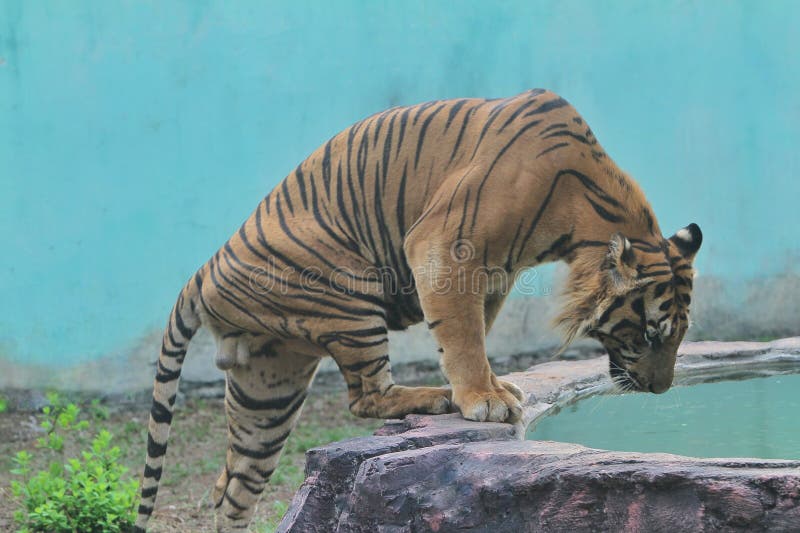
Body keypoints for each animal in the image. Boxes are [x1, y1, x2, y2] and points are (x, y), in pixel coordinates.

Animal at [134, 89, 702, 532]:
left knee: (232, 485)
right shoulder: (446, 247)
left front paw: (491, 387)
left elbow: (472, 331)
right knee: (366, 397)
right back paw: (431, 397)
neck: (585, 217)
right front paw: (483, 400)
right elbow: (464, 336)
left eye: (677, 336)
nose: (660, 389)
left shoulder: (495, 274)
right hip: (351, 294)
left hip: (267, 392)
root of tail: (203, 271)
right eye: (650, 334)